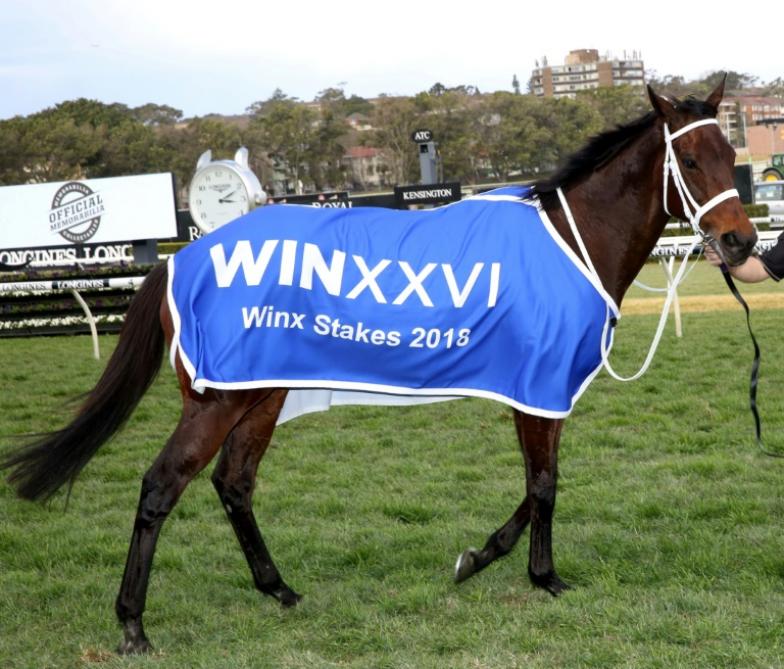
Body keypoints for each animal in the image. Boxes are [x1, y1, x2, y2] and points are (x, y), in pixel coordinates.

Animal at [1, 79, 758, 654]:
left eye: (730, 152)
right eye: (691, 161)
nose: (741, 241)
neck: (569, 241)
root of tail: (178, 257)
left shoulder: (538, 390)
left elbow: (535, 485)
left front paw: (478, 557)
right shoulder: (538, 386)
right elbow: (544, 484)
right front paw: (544, 576)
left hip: (261, 393)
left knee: (233, 482)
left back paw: (278, 587)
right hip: (216, 399)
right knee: (162, 485)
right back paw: (132, 623)